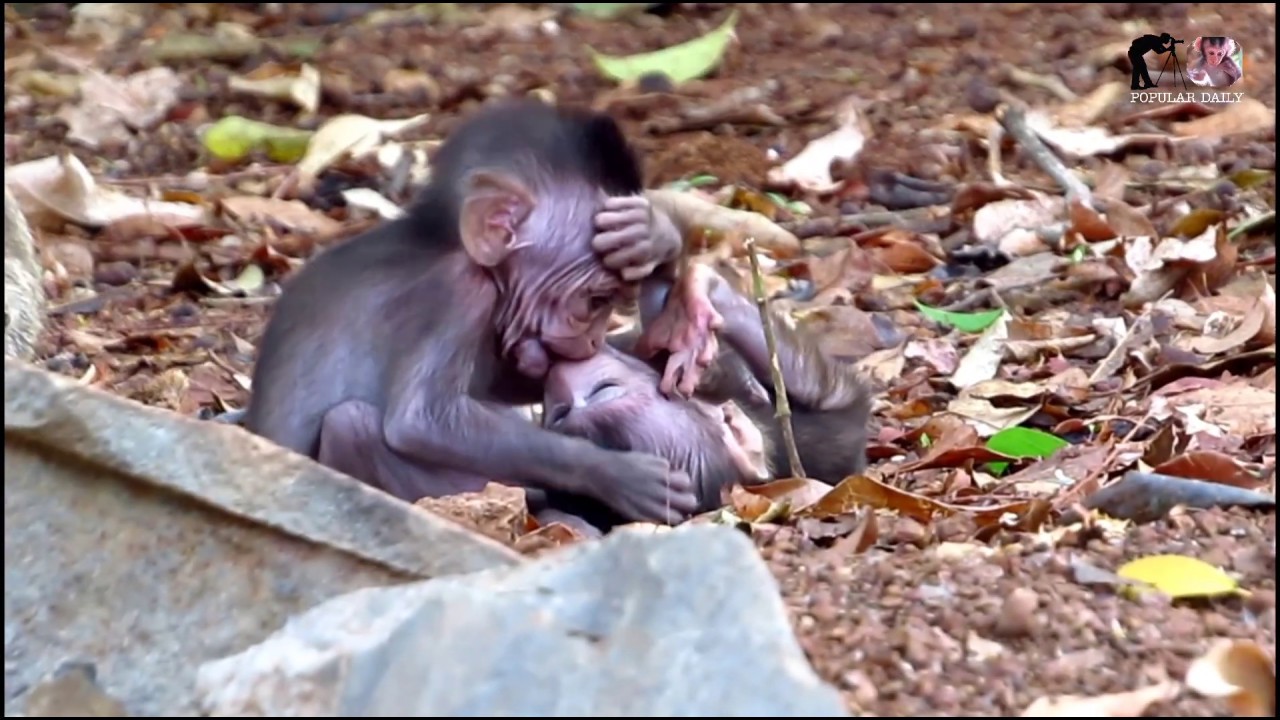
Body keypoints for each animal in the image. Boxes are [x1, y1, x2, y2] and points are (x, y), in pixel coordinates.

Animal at [242, 98, 701, 525]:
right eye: (595, 302)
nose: (592, 341)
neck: (443, 242)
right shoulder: (459, 293)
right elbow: (422, 420)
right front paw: (613, 472)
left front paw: (661, 255)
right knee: (349, 424)